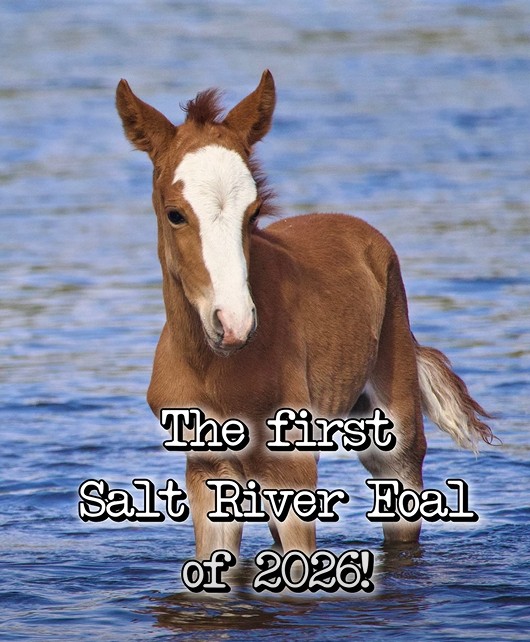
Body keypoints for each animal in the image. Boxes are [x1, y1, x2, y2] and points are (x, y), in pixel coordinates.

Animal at [116, 70, 493, 560]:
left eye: (254, 212)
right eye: (174, 214)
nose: (234, 324)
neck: (213, 369)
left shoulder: (290, 465)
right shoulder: (207, 465)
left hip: (395, 436)